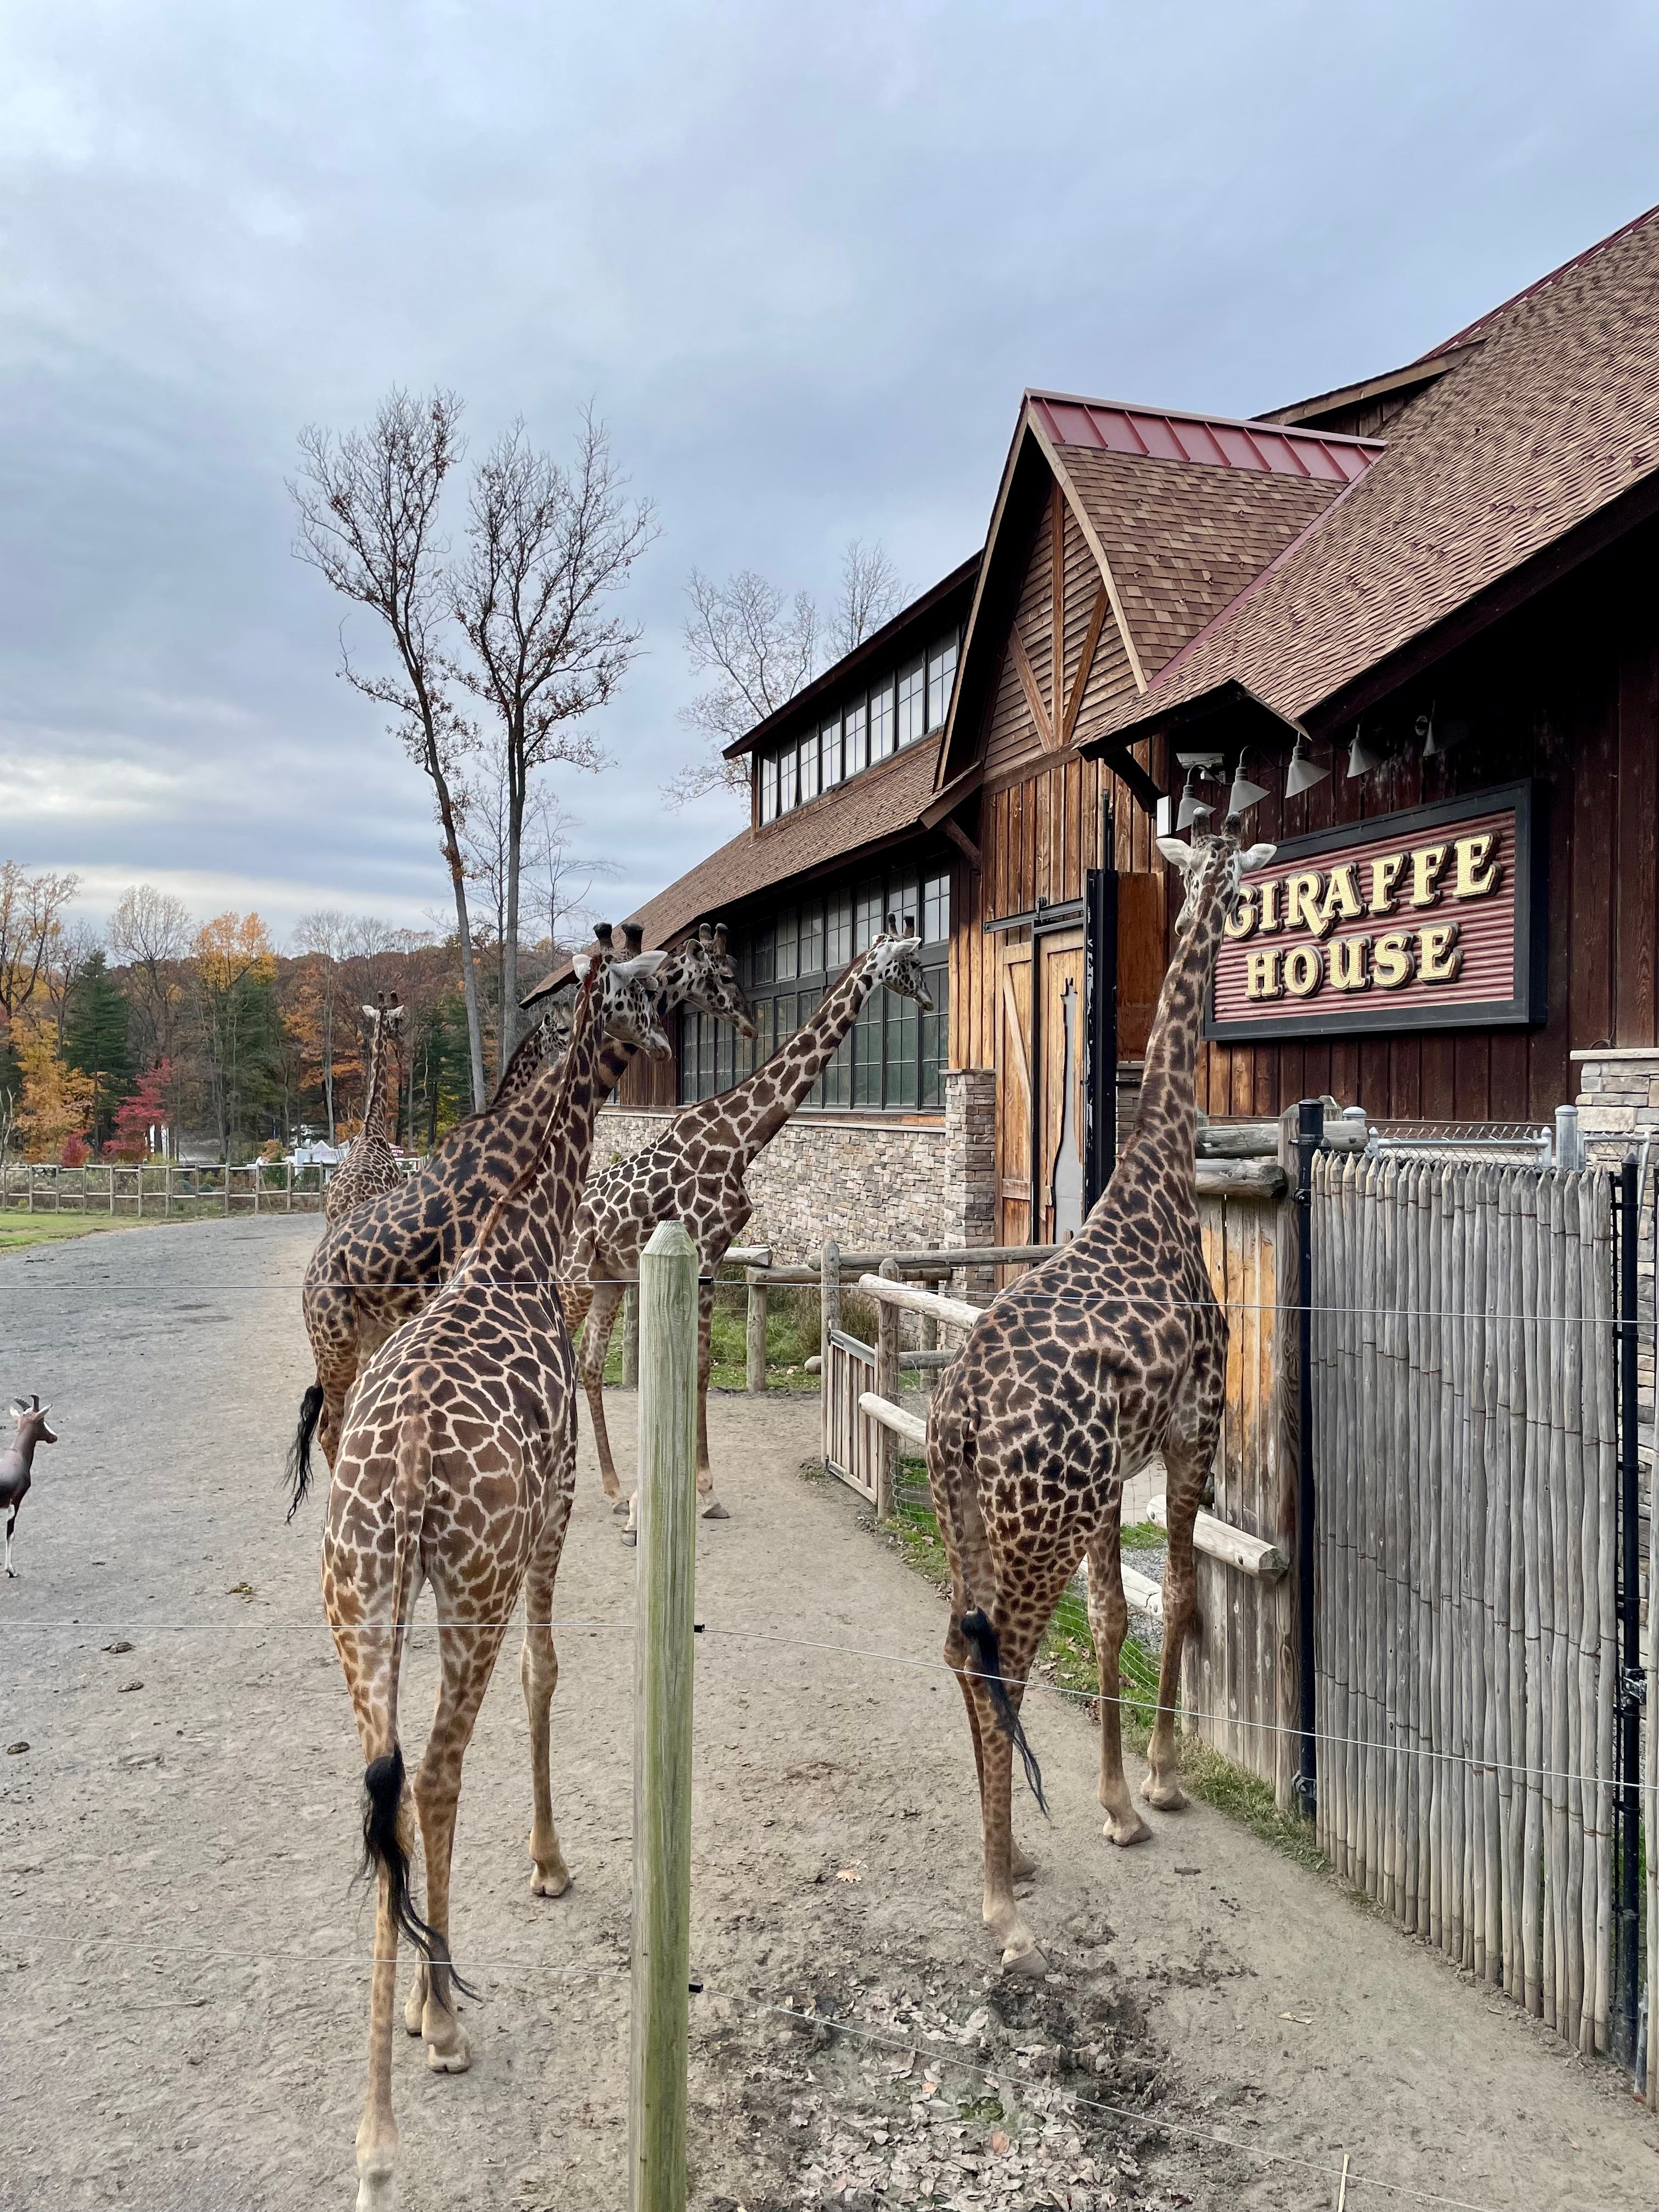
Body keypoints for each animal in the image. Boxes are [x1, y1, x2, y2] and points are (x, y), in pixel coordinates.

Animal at [563, 921, 933, 1520]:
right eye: (914, 965)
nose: (927, 998)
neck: (739, 1142)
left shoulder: (706, 1262)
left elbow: (698, 1368)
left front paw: (685, 1491)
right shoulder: (703, 1254)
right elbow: (698, 1367)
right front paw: (703, 1492)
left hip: (608, 1280)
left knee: (589, 1366)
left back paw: (615, 1490)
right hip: (574, 1276)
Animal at [925, 819, 1274, 1973]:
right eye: (1236, 881)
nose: (1240, 903)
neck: (1157, 1184)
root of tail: (955, 1420)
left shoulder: (1114, 1472)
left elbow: (1118, 1611)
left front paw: (1114, 1800)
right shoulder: (1194, 1427)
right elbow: (1182, 1592)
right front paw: (1160, 1782)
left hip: (976, 1519)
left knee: (964, 1650)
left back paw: (1011, 1856)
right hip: (1035, 1522)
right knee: (998, 1665)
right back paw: (1001, 1907)